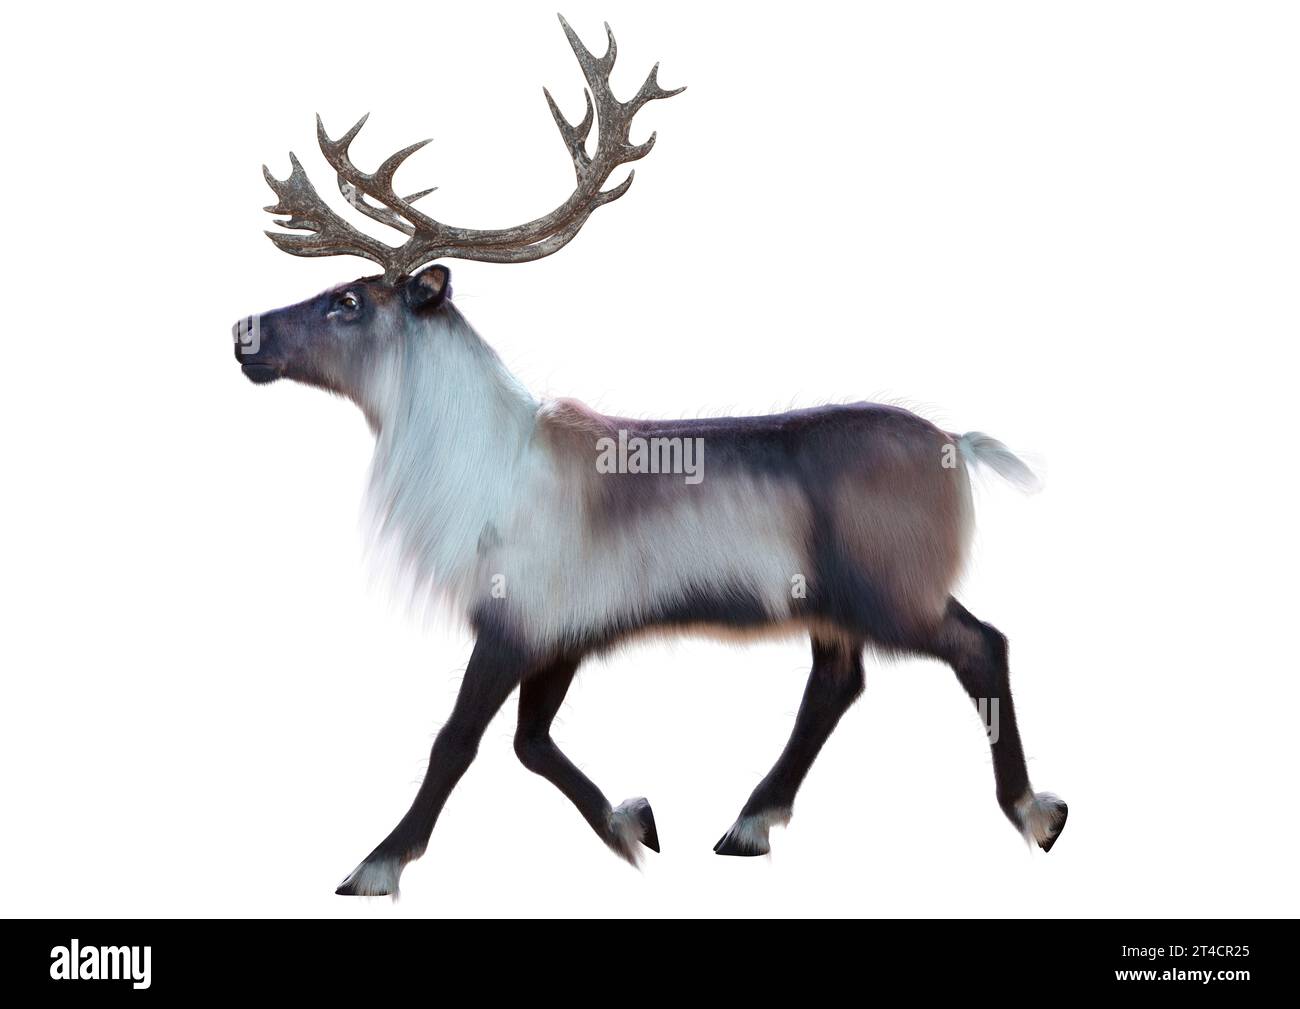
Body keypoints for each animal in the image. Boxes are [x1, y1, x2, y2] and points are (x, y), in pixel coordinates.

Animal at [233, 15, 1067, 897]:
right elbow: (530, 744)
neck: (469, 458)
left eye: (348, 301)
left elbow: (456, 741)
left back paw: (1034, 810)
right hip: (834, 604)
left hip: (895, 589)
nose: (242, 332)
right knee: (837, 683)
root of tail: (957, 446)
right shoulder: (562, 634)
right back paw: (749, 821)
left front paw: (378, 860)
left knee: (982, 646)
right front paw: (631, 822)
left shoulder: (516, 622)